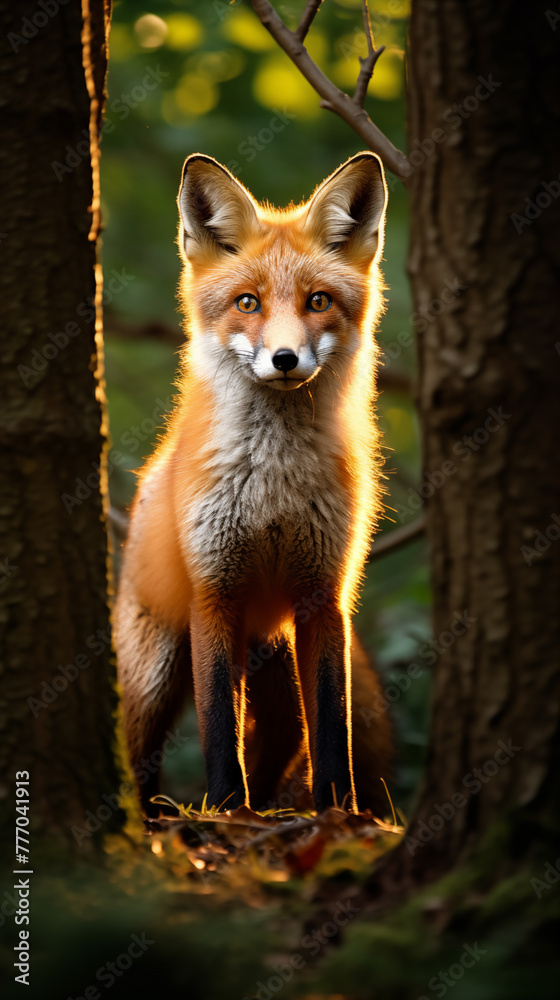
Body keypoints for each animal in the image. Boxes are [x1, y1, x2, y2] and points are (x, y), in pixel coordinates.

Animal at [115, 151, 393, 817]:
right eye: (248, 302)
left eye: (318, 301)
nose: (285, 359)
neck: (273, 490)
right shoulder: (216, 592)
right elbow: (219, 723)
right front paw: (223, 807)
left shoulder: (324, 594)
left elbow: (332, 725)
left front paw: (336, 812)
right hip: (156, 670)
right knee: (140, 752)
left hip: (274, 658)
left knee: (284, 736)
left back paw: (266, 811)